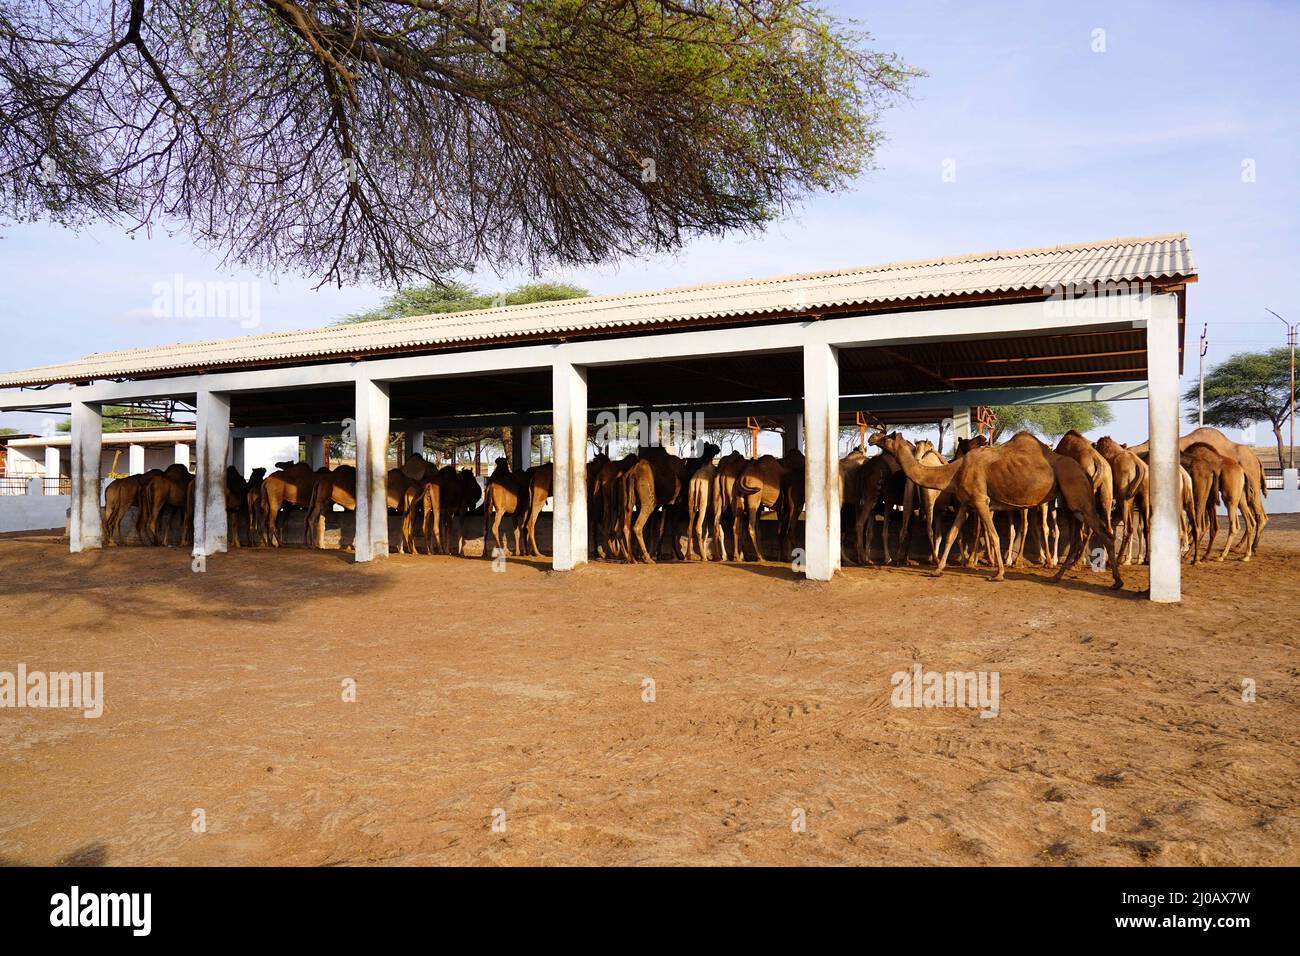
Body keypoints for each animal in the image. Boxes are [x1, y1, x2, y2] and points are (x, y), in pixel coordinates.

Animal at [870, 431, 1123, 589]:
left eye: (889, 436)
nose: (873, 437)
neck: (954, 471)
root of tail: (1086, 468)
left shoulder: (981, 501)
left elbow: (993, 535)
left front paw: (998, 574)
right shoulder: (966, 504)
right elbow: (952, 534)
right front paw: (937, 570)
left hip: (1078, 496)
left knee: (1103, 533)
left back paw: (1116, 581)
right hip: (1074, 504)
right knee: (1084, 534)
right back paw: (1057, 576)